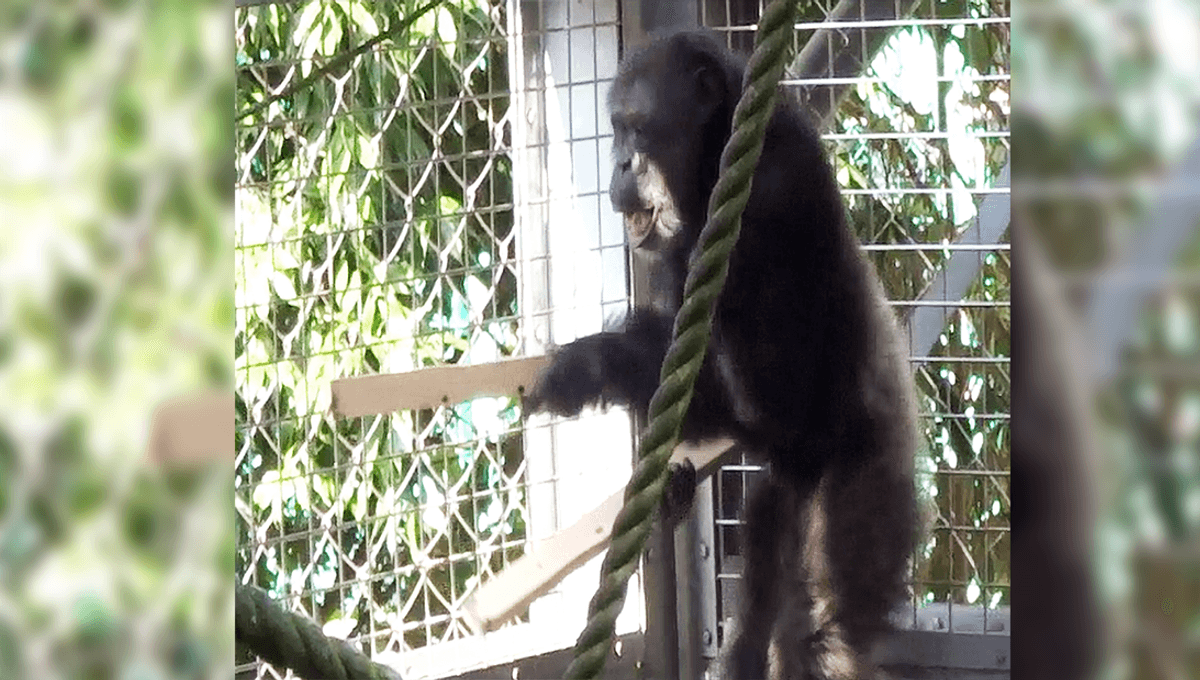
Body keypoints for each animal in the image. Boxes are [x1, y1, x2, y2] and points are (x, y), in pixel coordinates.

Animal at [523, 32, 918, 679]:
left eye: (639, 129)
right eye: (616, 129)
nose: (621, 162)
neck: (712, 163)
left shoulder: (773, 193)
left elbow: (778, 397)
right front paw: (587, 366)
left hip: (868, 491)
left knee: (829, 627)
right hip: (787, 496)